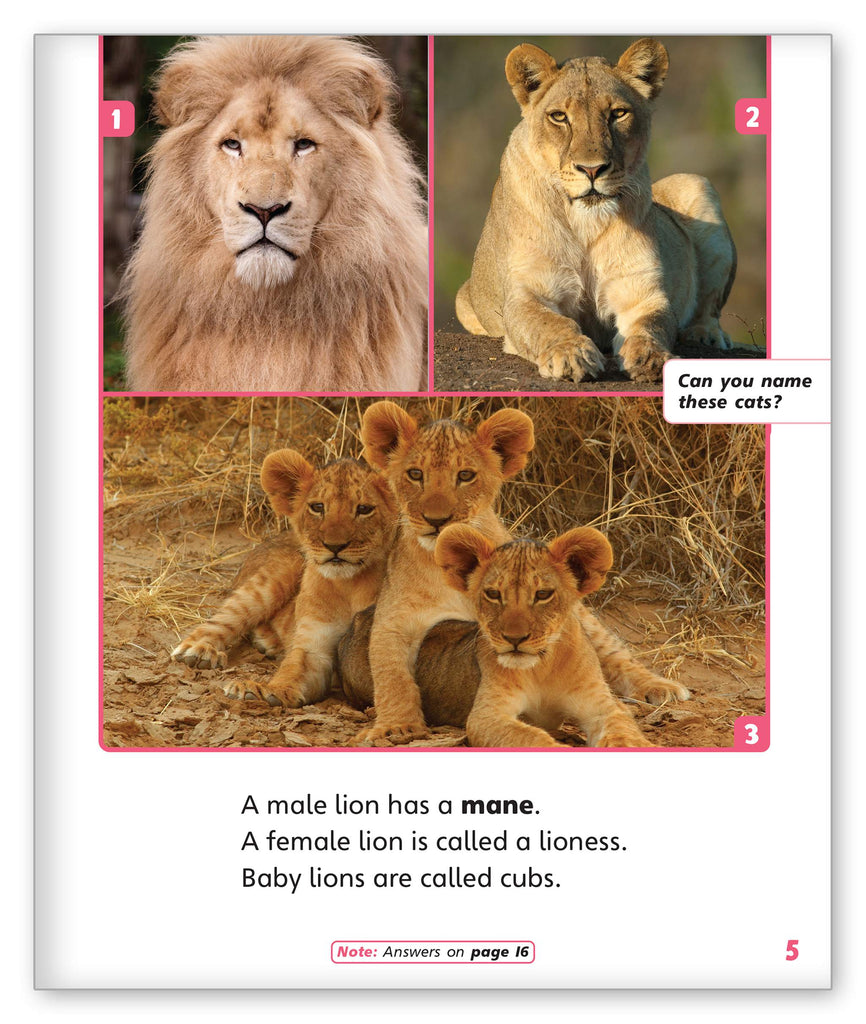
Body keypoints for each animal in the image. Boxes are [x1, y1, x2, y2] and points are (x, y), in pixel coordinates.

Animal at [172, 451, 398, 708]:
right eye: (317, 507)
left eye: (364, 509)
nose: (334, 546)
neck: (348, 585)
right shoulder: (312, 645)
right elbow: (292, 669)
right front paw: (262, 690)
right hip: (273, 579)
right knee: (222, 620)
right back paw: (197, 651)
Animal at [455, 38, 736, 383]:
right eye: (559, 117)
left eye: (617, 113)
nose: (592, 169)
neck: (584, 222)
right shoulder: (528, 293)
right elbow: (548, 324)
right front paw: (570, 355)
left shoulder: (641, 293)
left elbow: (651, 326)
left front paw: (650, 357)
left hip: (695, 182)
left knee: (709, 308)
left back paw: (705, 334)